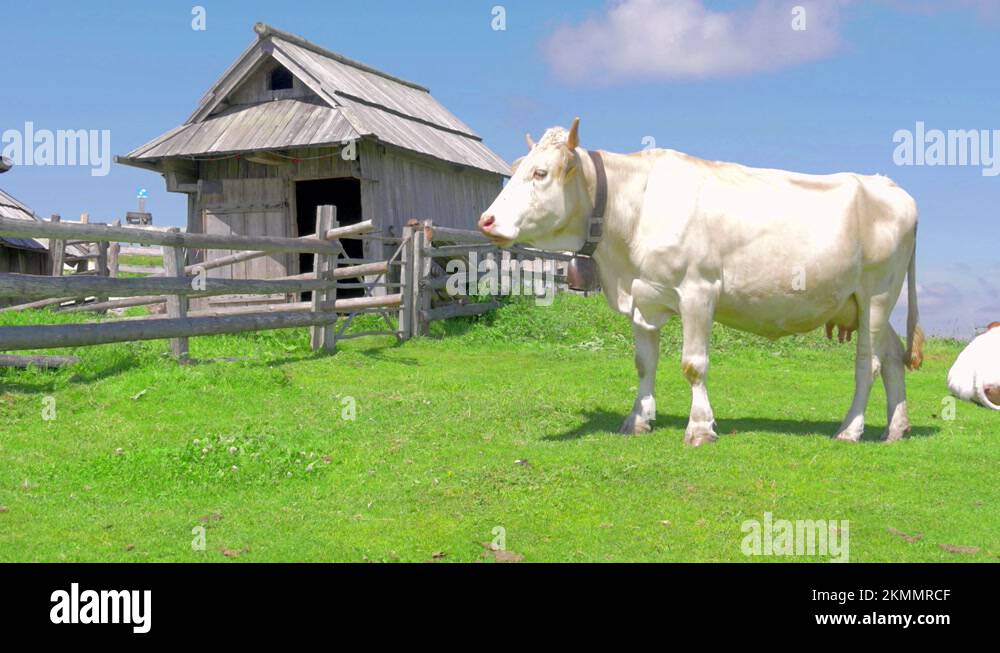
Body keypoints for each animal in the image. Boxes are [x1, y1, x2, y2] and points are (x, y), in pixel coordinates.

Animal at [479, 118, 924, 445]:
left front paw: (699, 427)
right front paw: (638, 419)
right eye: (516, 168)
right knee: (892, 356)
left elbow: (693, 364)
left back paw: (850, 428)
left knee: (869, 363)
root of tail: (890, 186)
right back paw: (896, 428)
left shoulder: (698, 291)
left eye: (540, 172)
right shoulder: (643, 297)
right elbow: (644, 363)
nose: (486, 220)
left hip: (877, 293)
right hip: (863, 302)